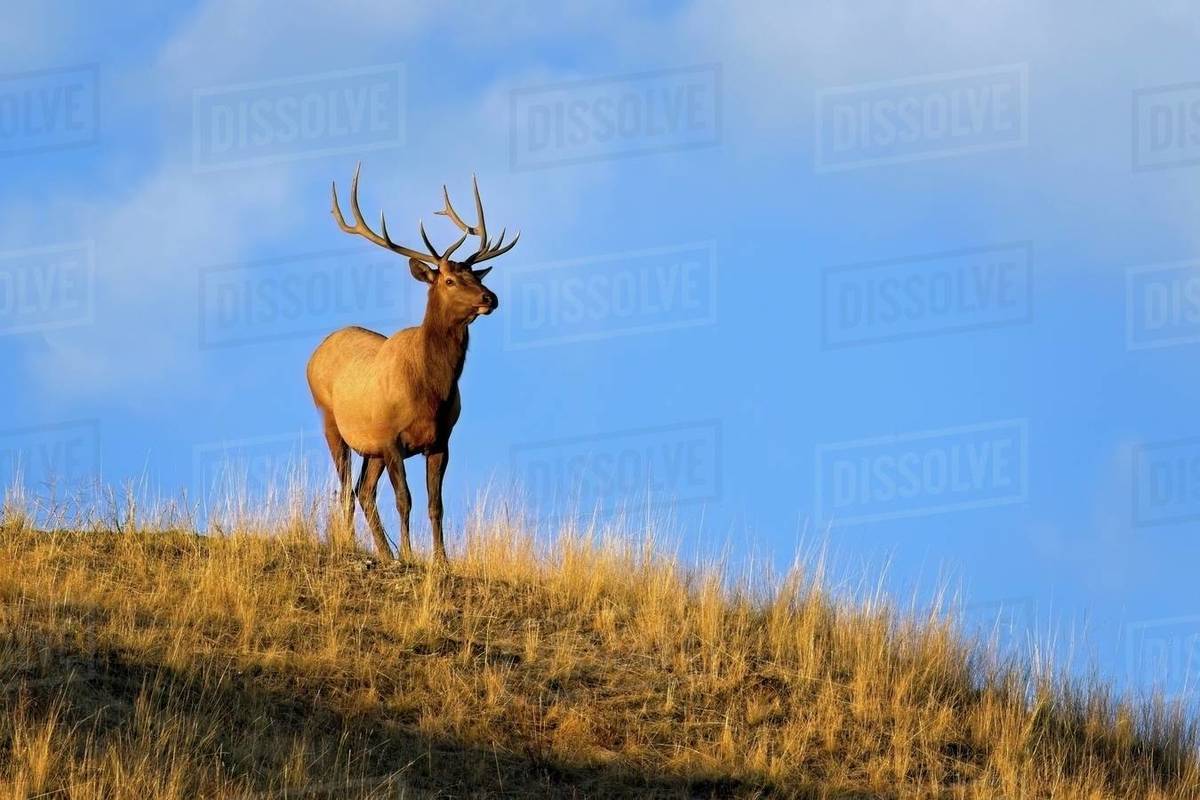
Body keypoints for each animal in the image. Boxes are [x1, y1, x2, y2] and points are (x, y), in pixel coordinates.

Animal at [306, 164, 518, 563]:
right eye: (449, 280)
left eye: (474, 275)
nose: (490, 297)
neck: (430, 392)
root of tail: (316, 352)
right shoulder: (391, 438)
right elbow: (404, 499)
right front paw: (408, 553)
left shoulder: (441, 440)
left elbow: (436, 504)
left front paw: (441, 560)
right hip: (332, 421)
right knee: (346, 490)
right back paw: (353, 544)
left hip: (370, 447)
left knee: (363, 491)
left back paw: (383, 552)